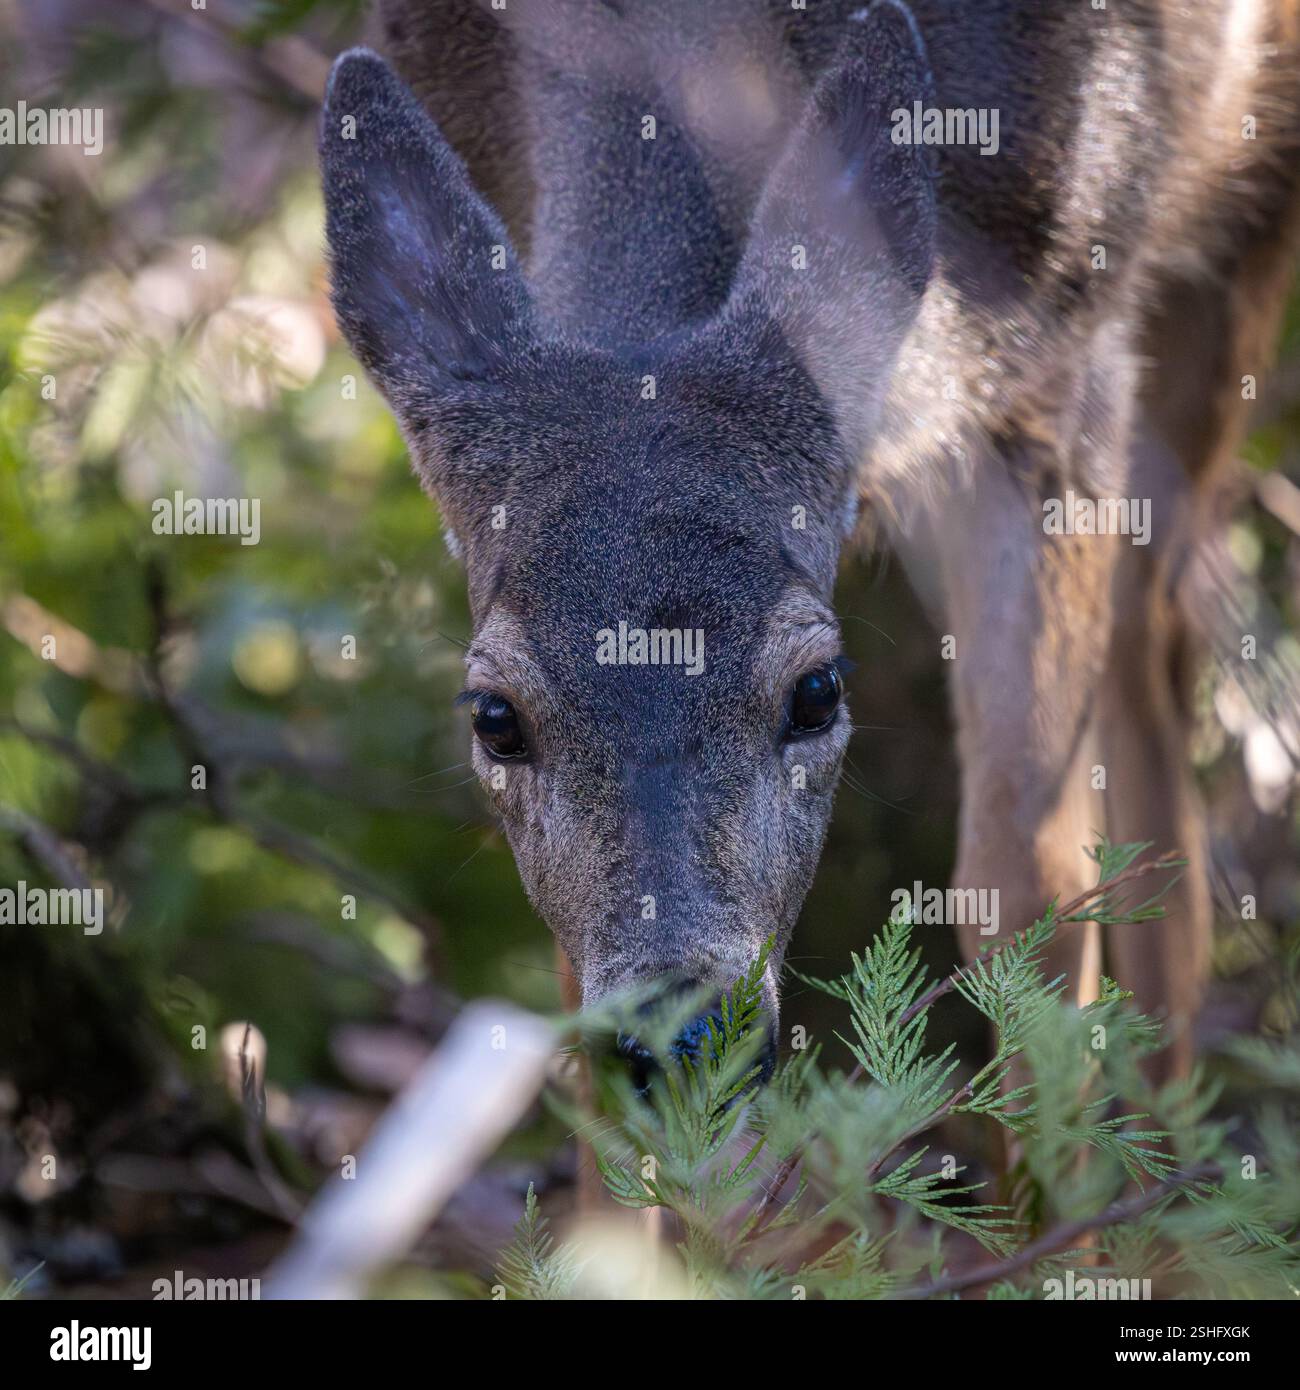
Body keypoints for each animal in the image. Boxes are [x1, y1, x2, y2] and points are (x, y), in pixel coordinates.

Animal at [319, 0, 1300, 1093]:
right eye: (495, 718)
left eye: (817, 690)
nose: (682, 1030)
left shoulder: (1061, 364)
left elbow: (1027, 892)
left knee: (1158, 635)